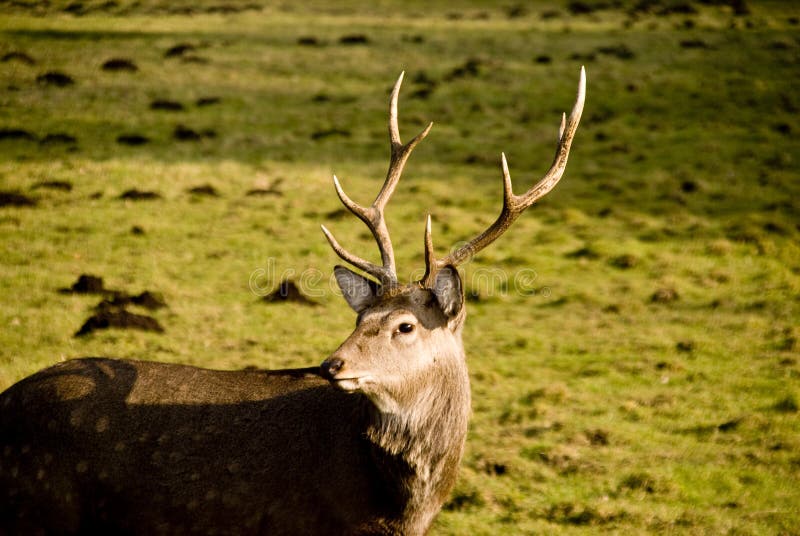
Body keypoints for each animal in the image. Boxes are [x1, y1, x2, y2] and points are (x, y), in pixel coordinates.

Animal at [0, 68, 585, 535]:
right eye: (360, 315)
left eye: (405, 325)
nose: (332, 364)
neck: (400, 512)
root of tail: (5, 401)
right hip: (39, 508)